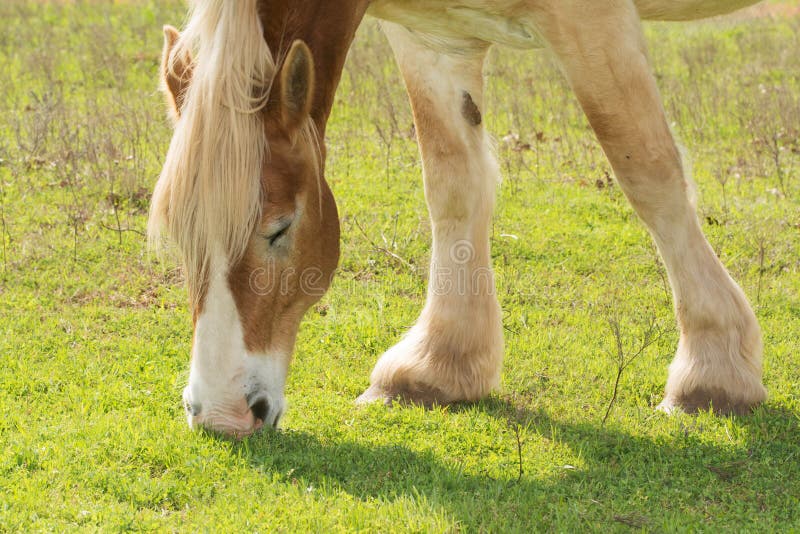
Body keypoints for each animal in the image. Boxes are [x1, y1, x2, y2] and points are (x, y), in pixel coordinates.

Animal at [149, 0, 767, 437]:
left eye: (280, 229)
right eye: (180, 240)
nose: (222, 415)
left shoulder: (593, 21)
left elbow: (647, 171)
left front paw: (711, 373)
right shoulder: (431, 37)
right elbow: (452, 182)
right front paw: (438, 364)